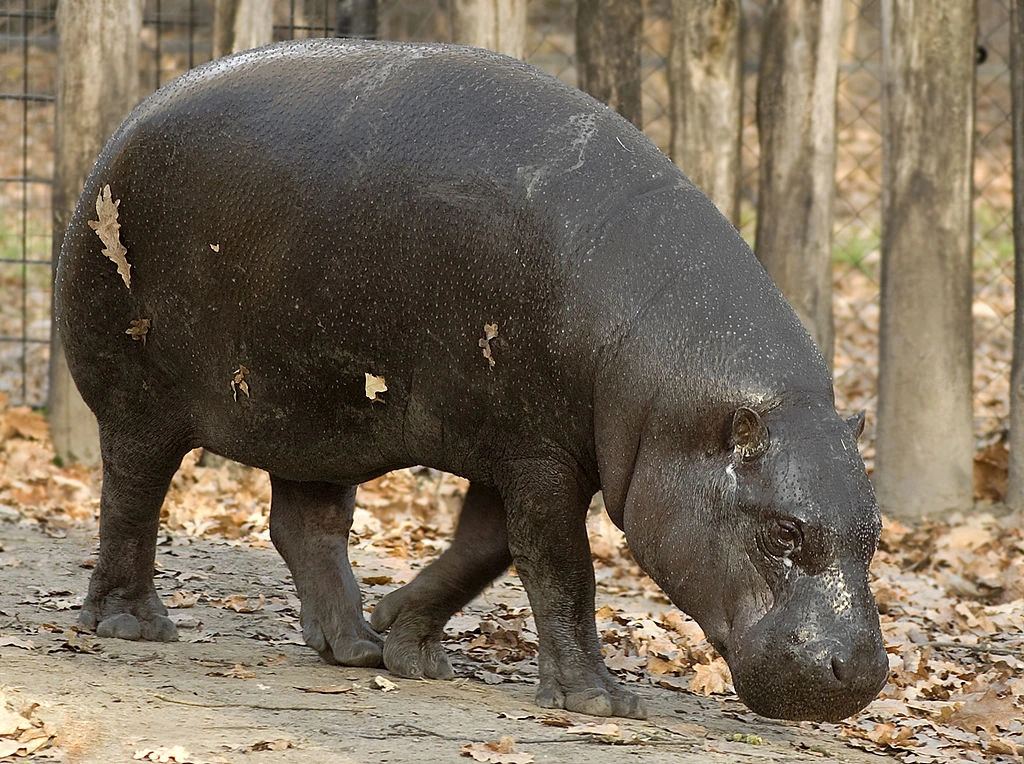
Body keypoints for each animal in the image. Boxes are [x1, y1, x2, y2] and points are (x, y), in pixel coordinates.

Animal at [55, 39, 888, 722]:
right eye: (784, 531)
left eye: (876, 533)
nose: (861, 674)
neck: (675, 393)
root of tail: (127, 124)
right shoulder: (539, 453)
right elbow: (558, 567)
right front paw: (600, 701)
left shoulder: (512, 447)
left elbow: (483, 551)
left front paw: (406, 643)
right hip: (141, 398)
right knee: (131, 495)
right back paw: (135, 626)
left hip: (315, 413)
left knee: (306, 525)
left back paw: (353, 646)